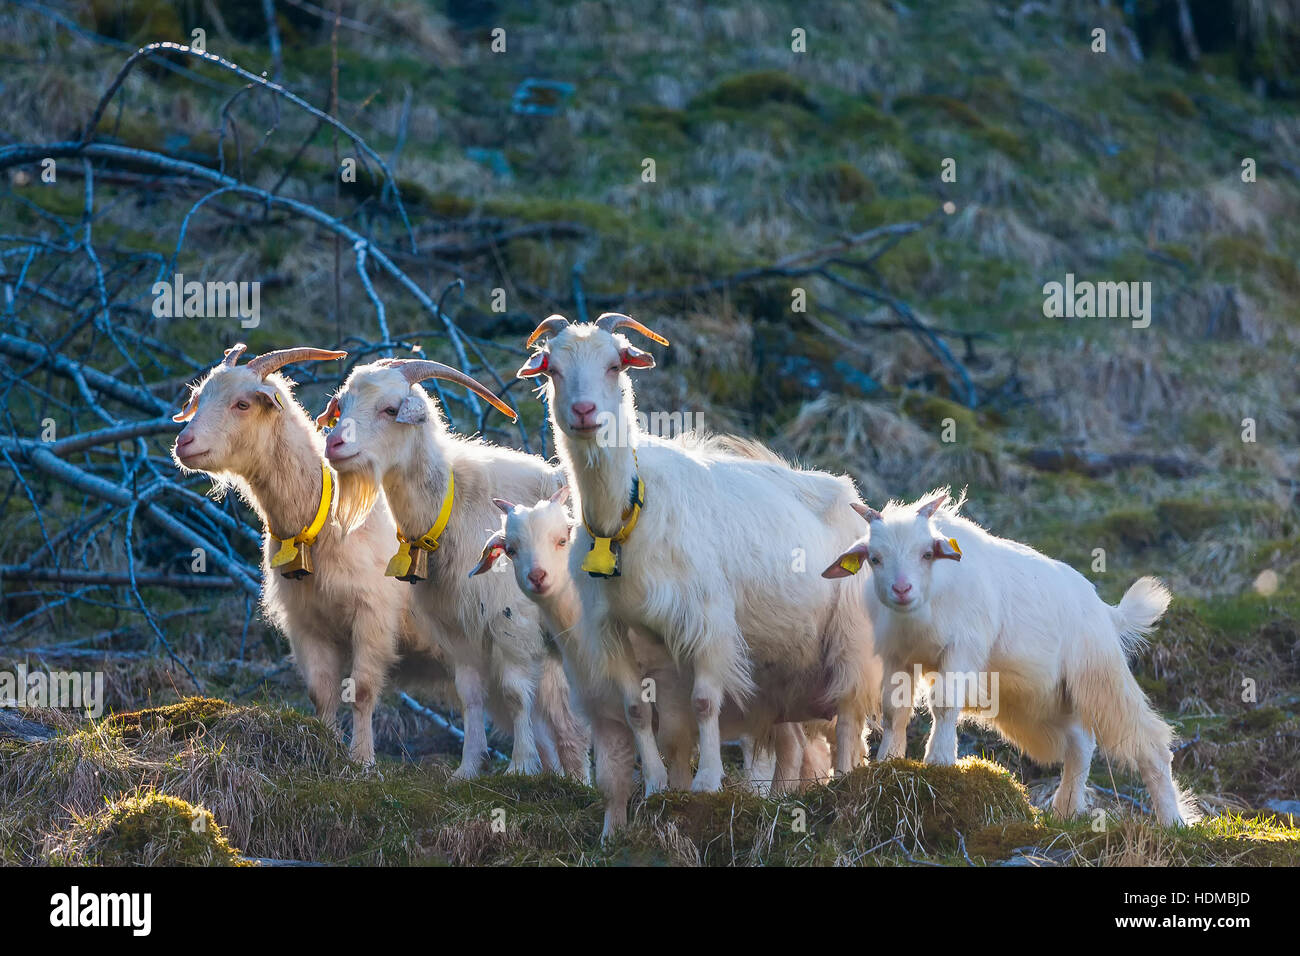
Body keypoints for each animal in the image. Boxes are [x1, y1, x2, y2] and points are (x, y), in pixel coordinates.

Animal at [171, 344, 453, 764]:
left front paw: (362, 760)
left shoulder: (374, 615)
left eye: (242, 404)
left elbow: (362, 690)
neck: (325, 519)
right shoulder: (306, 622)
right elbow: (321, 693)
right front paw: (328, 745)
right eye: (200, 398)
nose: (183, 443)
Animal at [320, 358, 589, 780]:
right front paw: (468, 768)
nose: (334, 444)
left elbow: (515, 693)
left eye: (390, 409)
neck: (455, 506)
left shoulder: (513, 622)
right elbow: (470, 695)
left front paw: (521, 766)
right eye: (342, 404)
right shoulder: (457, 630)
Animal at [516, 313, 881, 796]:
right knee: (798, 740)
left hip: (850, 639)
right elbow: (639, 712)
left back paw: (844, 781)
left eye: (615, 364)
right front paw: (656, 784)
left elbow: (706, 702)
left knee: (848, 719)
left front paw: (706, 781)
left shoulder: (706, 619)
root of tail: (852, 498)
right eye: (553, 370)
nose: (584, 412)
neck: (627, 515)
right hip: (784, 668)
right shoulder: (616, 630)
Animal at [822, 489, 1193, 826]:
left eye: (927, 553)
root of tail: (1105, 611)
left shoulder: (962, 649)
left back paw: (1172, 821)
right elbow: (893, 711)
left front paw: (939, 762)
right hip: (1045, 698)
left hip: (1100, 675)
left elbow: (944, 703)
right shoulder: (897, 657)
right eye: (875, 558)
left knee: (1148, 742)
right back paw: (1065, 812)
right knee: (1081, 743)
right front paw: (888, 763)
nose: (902, 590)